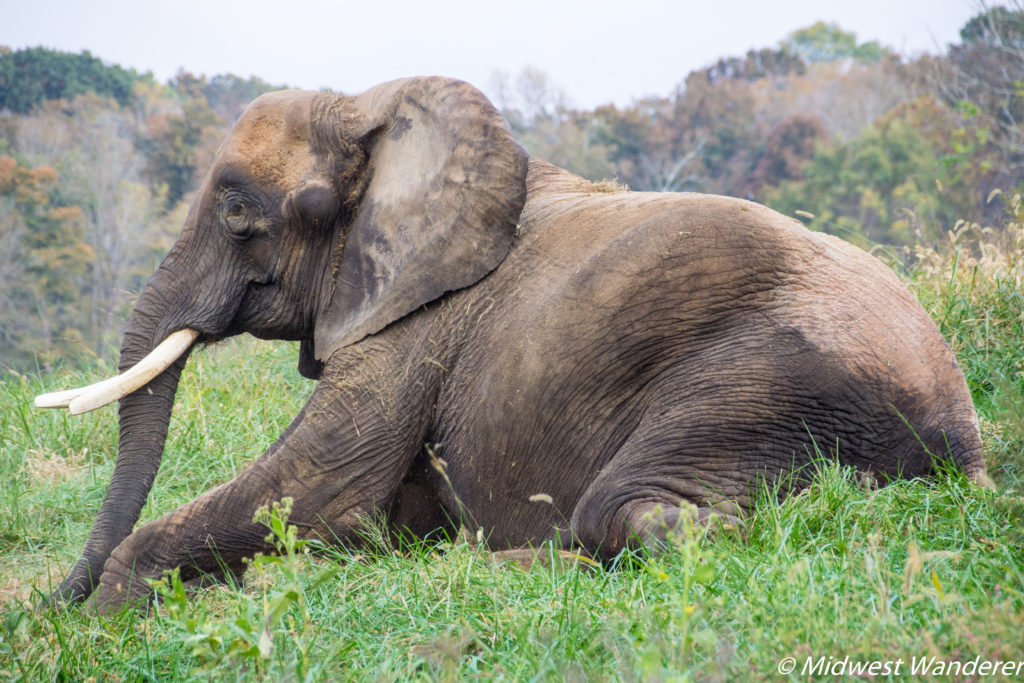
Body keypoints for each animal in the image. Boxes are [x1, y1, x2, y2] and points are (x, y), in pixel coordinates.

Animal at [36, 76, 987, 613]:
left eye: (237, 210)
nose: (48, 605)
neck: (386, 120)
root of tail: (964, 444)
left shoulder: (418, 315)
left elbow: (325, 484)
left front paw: (116, 608)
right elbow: (367, 511)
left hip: (770, 380)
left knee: (639, 514)